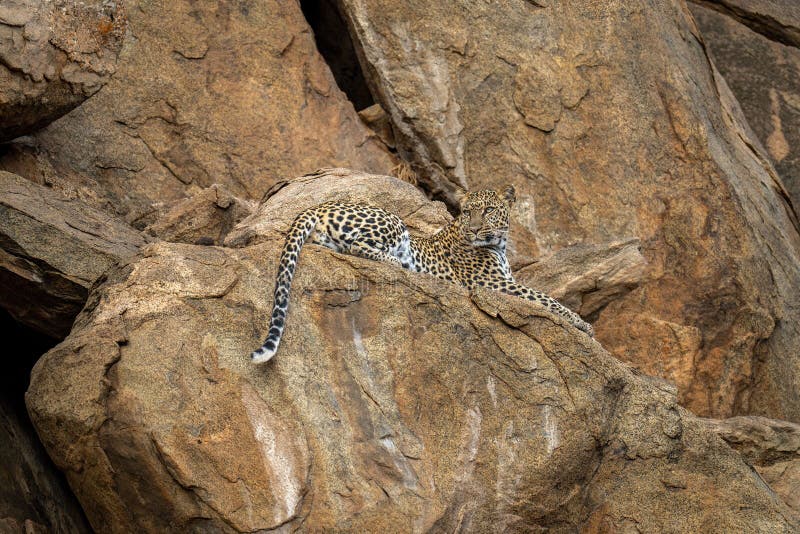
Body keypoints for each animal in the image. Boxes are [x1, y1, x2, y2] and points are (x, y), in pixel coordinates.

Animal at [250, 183, 593, 364]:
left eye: (489, 211)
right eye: (467, 212)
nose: (475, 229)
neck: (499, 244)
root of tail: (317, 206)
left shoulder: (502, 280)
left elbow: (543, 296)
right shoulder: (491, 282)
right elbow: (545, 298)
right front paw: (582, 324)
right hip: (392, 221)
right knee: (358, 246)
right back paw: (400, 264)